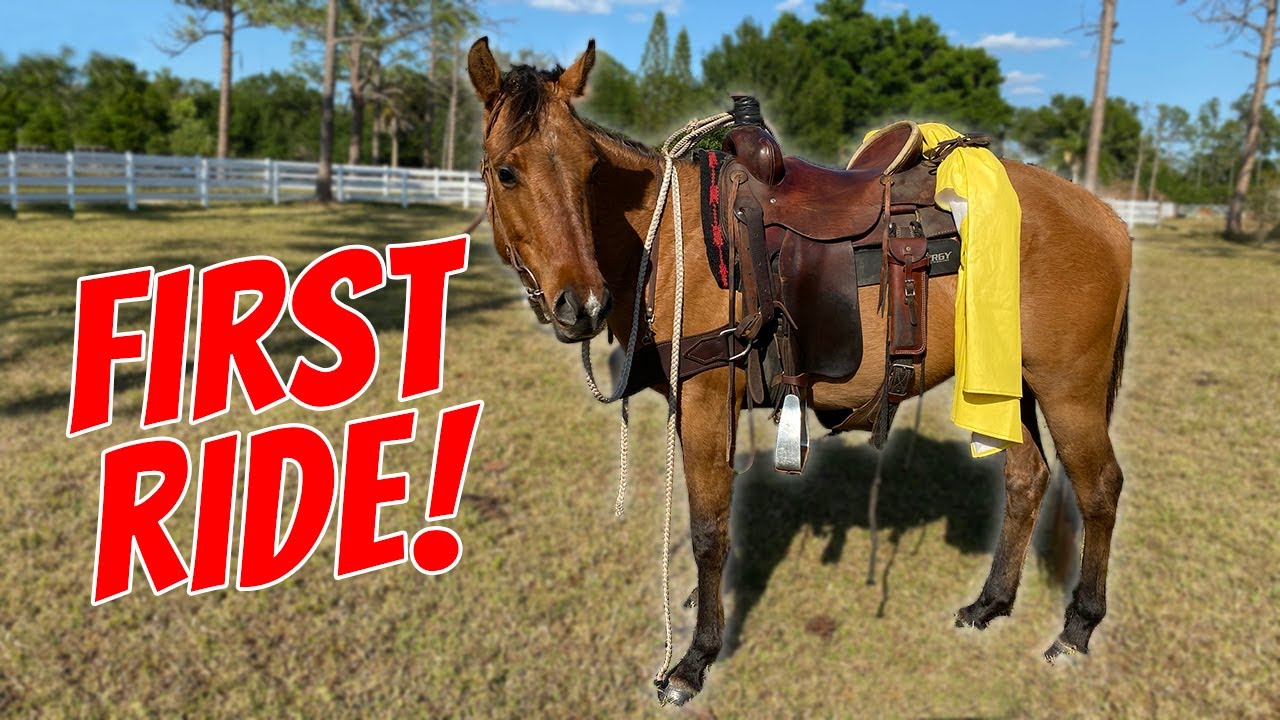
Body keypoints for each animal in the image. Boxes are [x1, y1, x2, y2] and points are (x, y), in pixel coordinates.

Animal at [466, 37, 1132, 706]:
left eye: (590, 171)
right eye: (507, 171)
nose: (582, 304)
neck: (672, 243)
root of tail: (1108, 215)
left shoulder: (705, 401)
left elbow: (708, 529)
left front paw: (695, 658)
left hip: (1068, 390)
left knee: (1100, 488)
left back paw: (1077, 628)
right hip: (1004, 384)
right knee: (1026, 479)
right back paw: (990, 603)